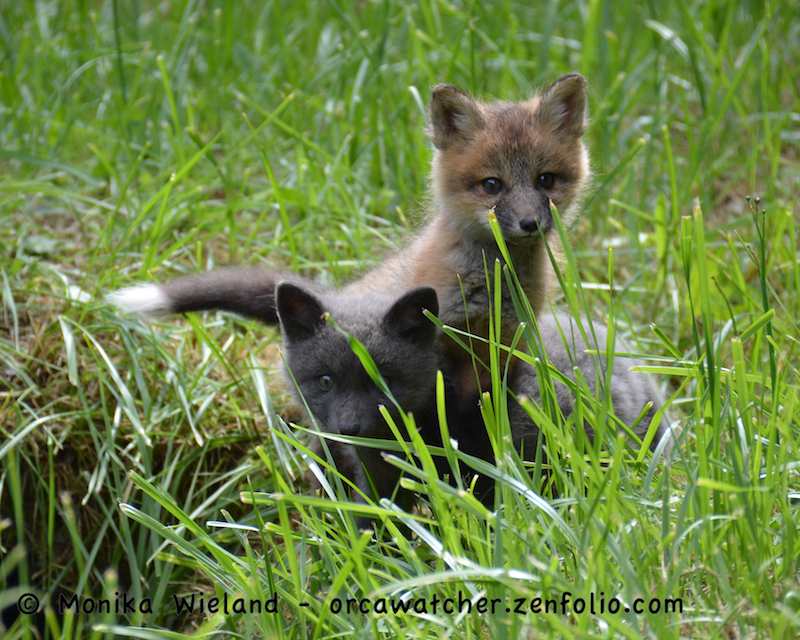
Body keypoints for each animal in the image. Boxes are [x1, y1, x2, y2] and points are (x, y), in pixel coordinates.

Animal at [108, 74, 591, 396]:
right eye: (492, 185)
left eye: (546, 180)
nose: (530, 224)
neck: (490, 282)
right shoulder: (443, 341)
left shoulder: (509, 342)